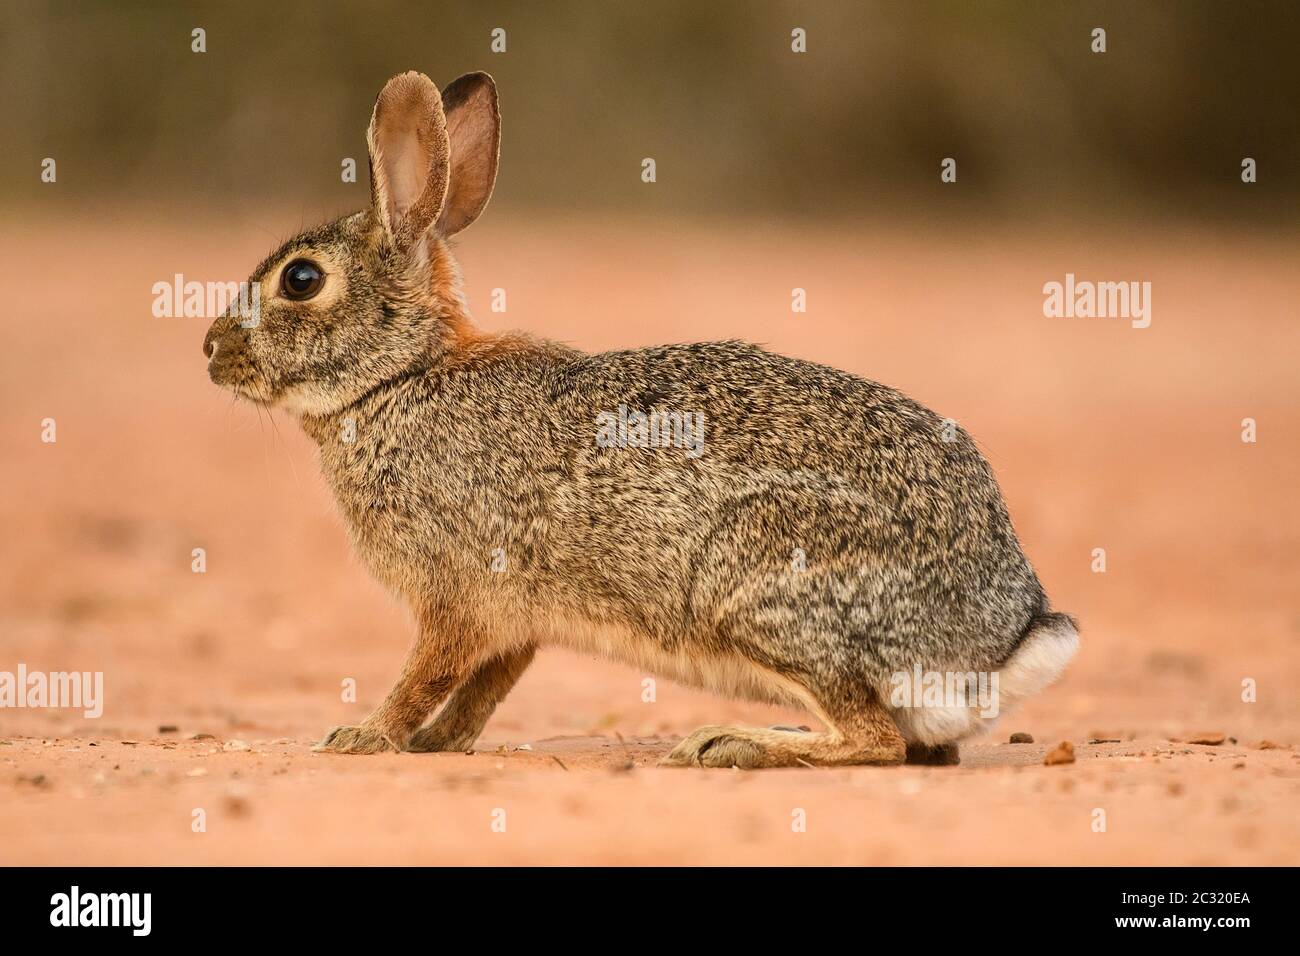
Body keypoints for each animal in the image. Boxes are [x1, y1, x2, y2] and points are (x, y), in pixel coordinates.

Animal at [203, 70, 1078, 768]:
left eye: (301, 280)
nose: (210, 349)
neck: (400, 377)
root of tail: (1001, 643)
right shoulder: (514, 621)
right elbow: (483, 690)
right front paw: (432, 745)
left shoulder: (456, 597)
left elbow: (426, 677)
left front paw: (365, 737)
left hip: (754, 589)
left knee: (876, 740)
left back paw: (729, 745)